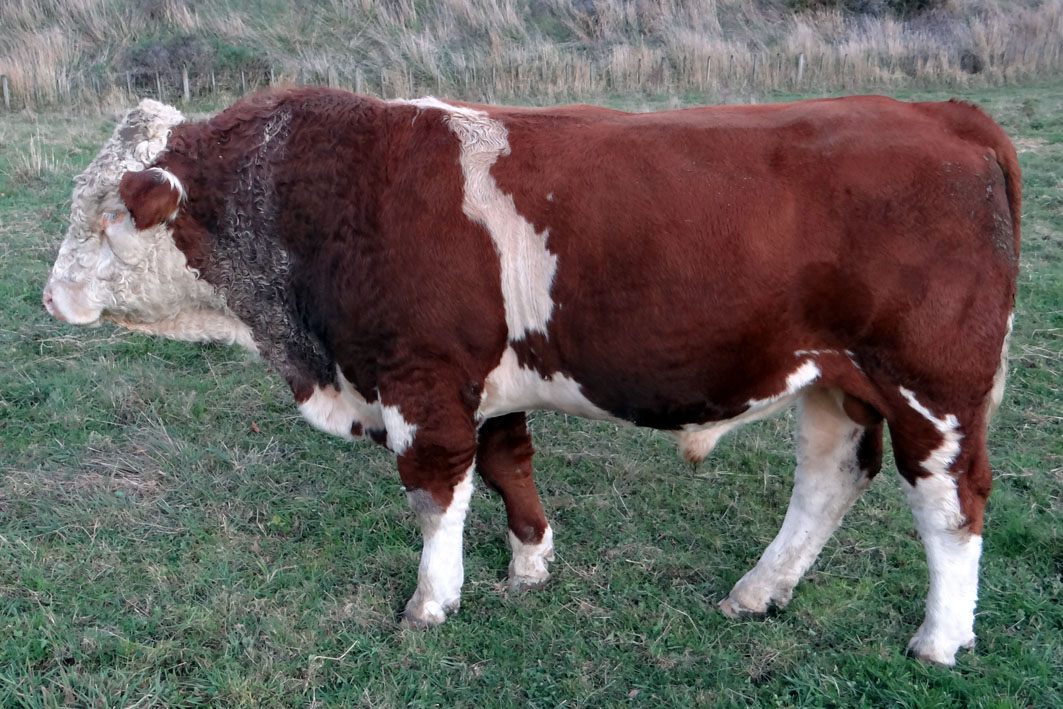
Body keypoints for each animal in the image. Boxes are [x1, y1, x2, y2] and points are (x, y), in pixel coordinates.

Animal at [42, 88, 1020, 666]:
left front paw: (431, 601)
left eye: (105, 217)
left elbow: (435, 492)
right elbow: (509, 462)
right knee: (827, 479)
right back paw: (757, 590)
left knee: (950, 504)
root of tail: (940, 112)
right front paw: (528, 566)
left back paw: (940, 637)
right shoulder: (483, 383)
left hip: (932, 385)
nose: (51, 297)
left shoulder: (420, 380)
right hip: (831, 378)